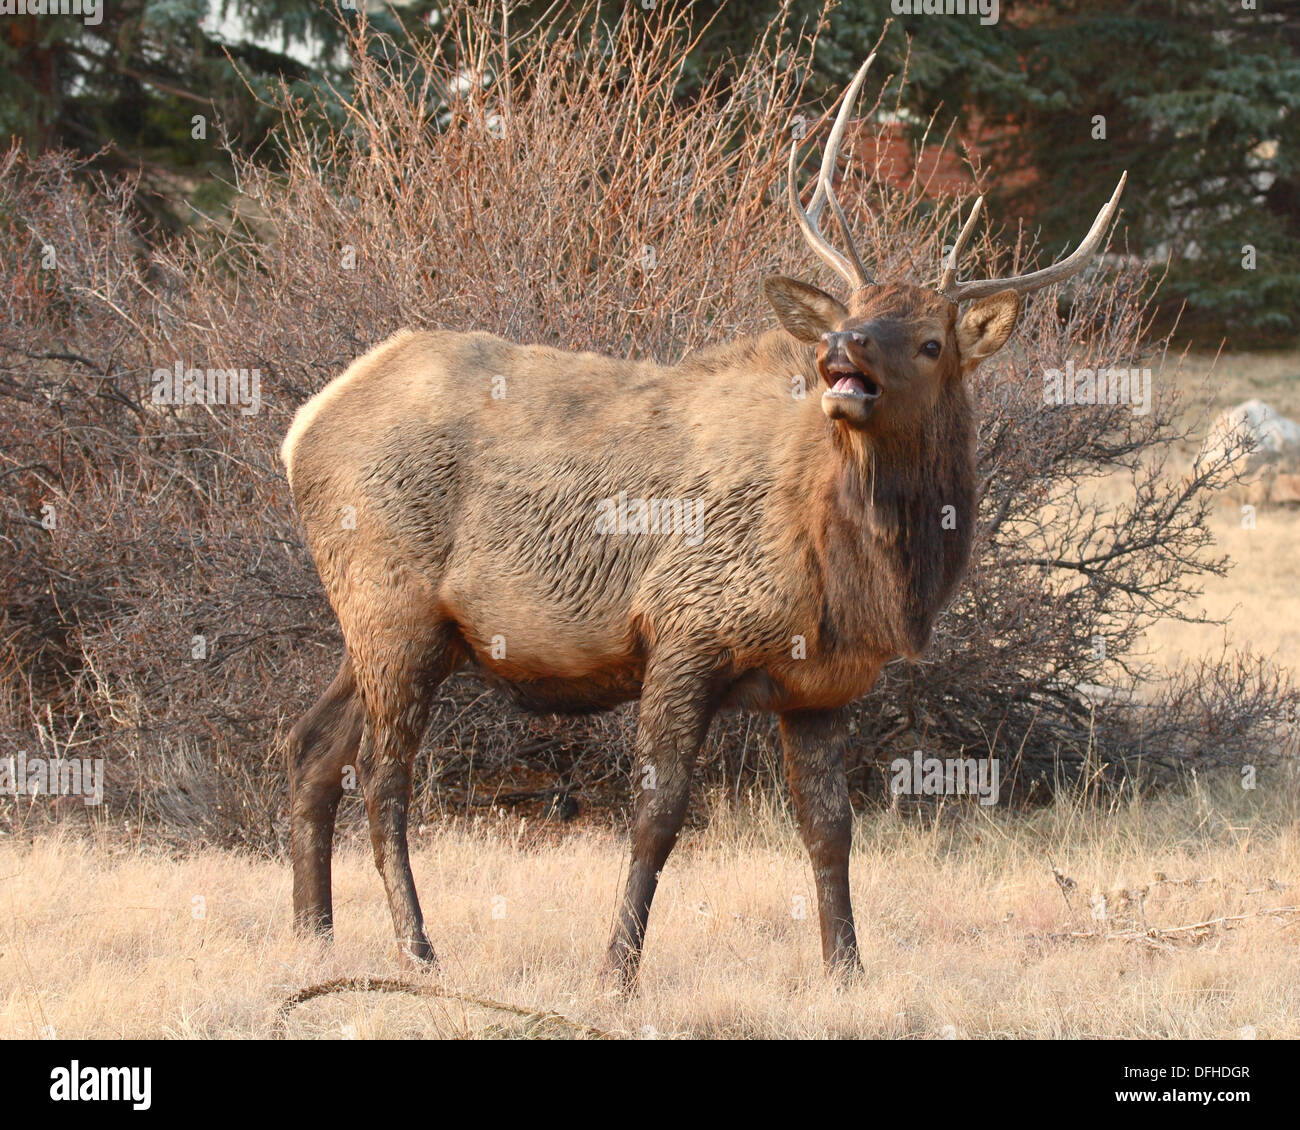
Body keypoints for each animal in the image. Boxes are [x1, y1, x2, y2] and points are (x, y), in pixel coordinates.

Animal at [280, 52, 1125, 987]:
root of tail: (302, 425)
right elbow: (657, 815)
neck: (864, 575)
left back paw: (314, 935)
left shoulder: (824, 687)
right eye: (853, 311)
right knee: (379, 774)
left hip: (384, 621)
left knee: (310, 746)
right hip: (394, 607)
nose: (844, 348)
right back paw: (417, 947)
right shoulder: (687, 627)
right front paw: (615, 972)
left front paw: (846, 970)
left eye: (932, 341)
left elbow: (831, 830)